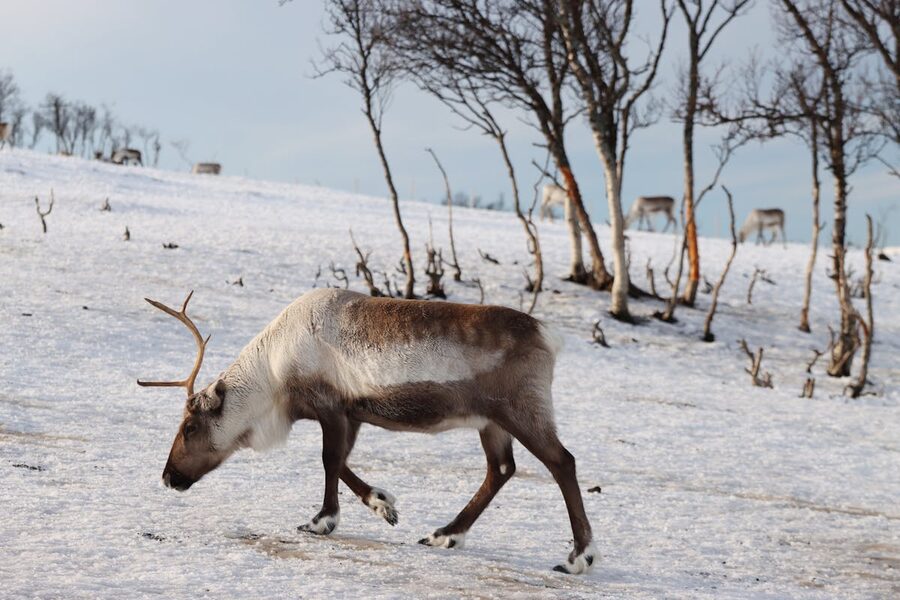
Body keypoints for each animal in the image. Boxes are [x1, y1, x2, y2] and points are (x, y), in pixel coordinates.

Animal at [138, 288, 597, 574]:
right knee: (501, 469)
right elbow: (342, 462)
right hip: (492, 422)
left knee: (562, 462)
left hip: (521, 410)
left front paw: (321, 521)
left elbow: (329, 460)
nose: (168, 477)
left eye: (190, 426)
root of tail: (548, 336)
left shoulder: (330, 407)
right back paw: (444, 535)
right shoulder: (351, 413)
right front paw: (383, 504)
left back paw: (579, 556)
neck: (274, 375)